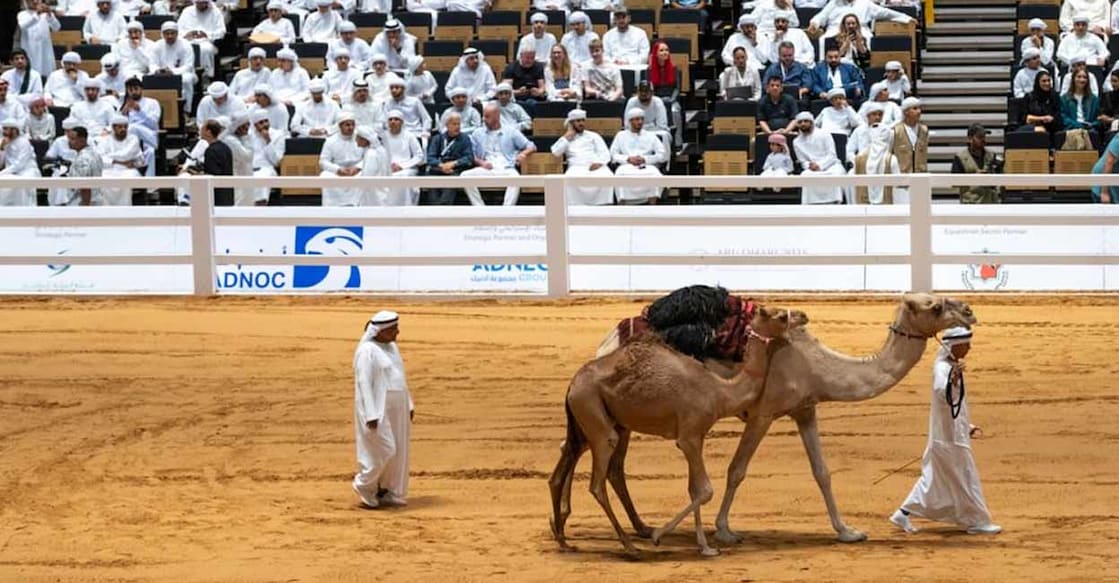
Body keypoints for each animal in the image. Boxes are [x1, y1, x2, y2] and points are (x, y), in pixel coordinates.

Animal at [549, 304, 809, 557]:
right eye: (779, 315)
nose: (803, 315)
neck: (720, 392)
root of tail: (572, 383)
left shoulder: (696, 436)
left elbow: (694, 490)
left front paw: (704, 546)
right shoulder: (689, 436)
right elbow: (705, 490)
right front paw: (661, 536)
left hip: (597, 420)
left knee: (571, 461)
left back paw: (563, 538)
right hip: (594, 412)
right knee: (597, 481)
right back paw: (629, 545)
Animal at [588, 292, 977, 547]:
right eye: (935, 306)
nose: (969, 311)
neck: (815, 365)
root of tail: (608, 341)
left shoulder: (805, 409)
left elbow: (822, 472)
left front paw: (848, 531)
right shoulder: (763, 413)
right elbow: (737, 470)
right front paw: (725, 531)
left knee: (614, 466)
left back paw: (640, 528)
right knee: (613, 463)